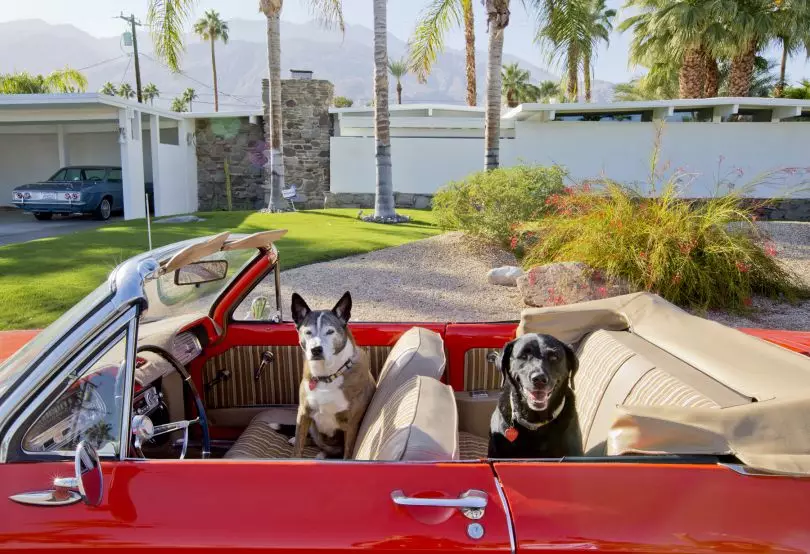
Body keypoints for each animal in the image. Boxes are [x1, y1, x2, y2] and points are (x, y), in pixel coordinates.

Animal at [288, 288, 374, 458]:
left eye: (330, 331)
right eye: (308, 332)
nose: (316, 350)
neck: (326, 376)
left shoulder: (351, 424)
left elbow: (348, 453)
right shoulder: (303, 413)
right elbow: (298, 449)